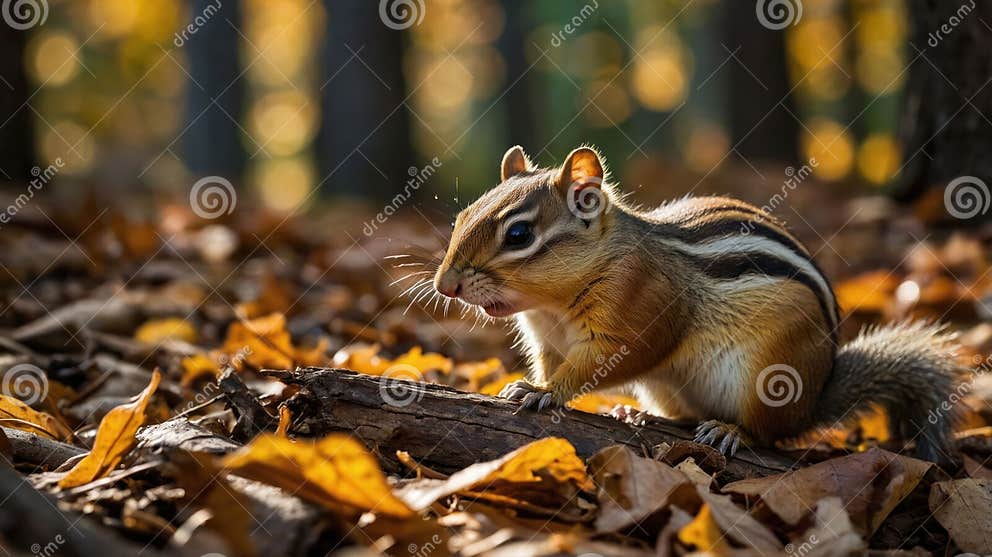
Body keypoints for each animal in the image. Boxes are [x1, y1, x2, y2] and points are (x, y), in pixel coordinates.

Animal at [432, 145, 964, 463]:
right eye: (462, 216)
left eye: (519, 235)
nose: (444, 286)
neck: (552, 306)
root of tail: (815, 398)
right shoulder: (547, 339)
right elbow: (549, 362)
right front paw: (531, 384)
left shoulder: (639, 311)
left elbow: (606, 361)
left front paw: (546, 391)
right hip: (671, 388)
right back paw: (644, 416)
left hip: (770, 375)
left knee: (769, 433)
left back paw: (732, 433)